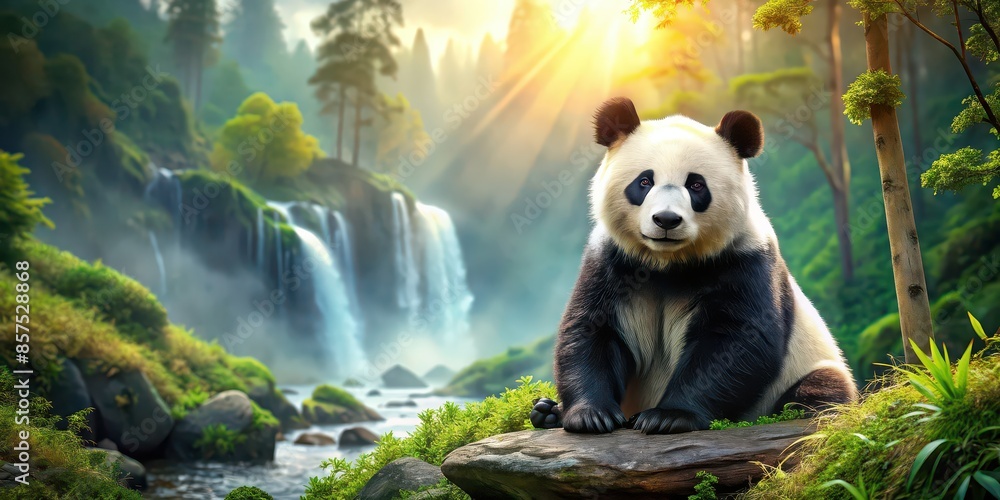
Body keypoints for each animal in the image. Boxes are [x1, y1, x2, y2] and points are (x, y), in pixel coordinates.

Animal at [529, 97, 858, 434]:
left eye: (696, 185)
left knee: (821, 387)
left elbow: (733, 340)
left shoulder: (744, 260)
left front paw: (669, 416)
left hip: (811, 363)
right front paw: (591, 415)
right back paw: (547, 411)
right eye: (644, 181)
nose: (666, 220)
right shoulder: (612, 261)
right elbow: (592, 329)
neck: (666, 261)